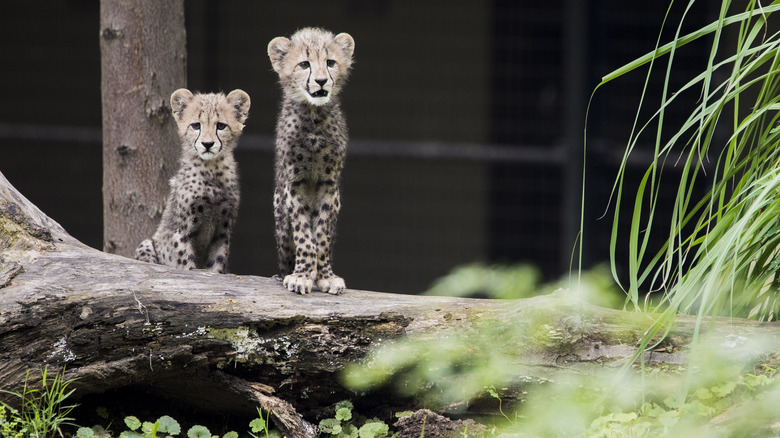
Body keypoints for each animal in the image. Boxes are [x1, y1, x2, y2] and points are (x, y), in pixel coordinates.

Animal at [135, 88, 251, 273]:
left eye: (221, 126)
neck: (212, 169)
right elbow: (186, 265)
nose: (208, 144)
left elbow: (217, 265)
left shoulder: (222, 233)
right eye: (196, 125)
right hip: (147, 244)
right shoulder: (182, 232)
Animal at [267, 27, 355, 294]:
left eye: (330, 63)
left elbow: (322, 234)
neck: (315, 115)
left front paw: (325, 276)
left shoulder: (329, 183)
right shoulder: (294, 184)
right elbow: (304, 235)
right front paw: (302, 276)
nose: (321, 81)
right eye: (304, 64)